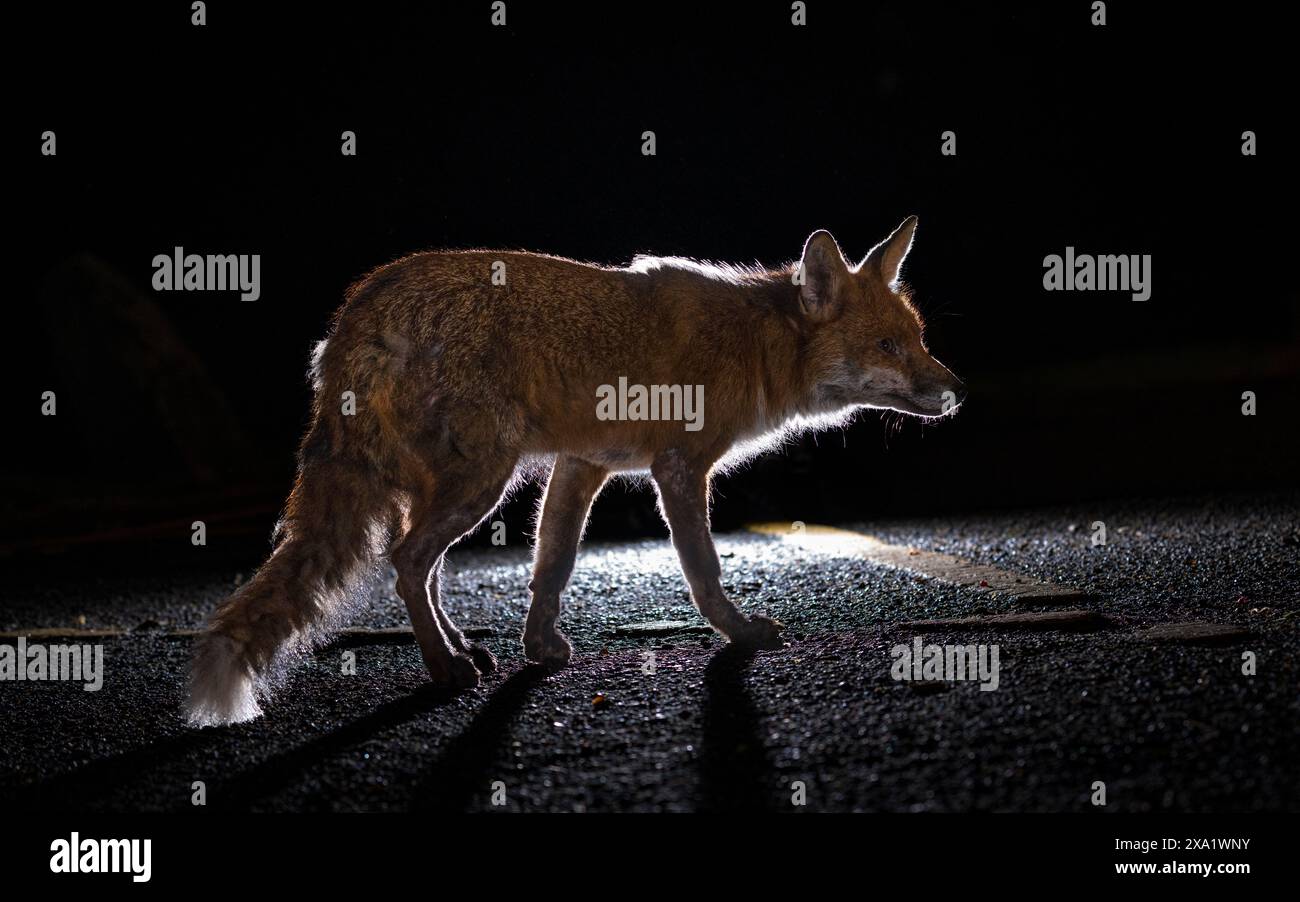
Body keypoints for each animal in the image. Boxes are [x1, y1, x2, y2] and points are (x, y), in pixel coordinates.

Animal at [186, 217, 965, 726]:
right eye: (888, 347)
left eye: (920, 340)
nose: (957, 391)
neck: (753, 343)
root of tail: (351, 319)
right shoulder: (677, 467)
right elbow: (704, 571)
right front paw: (739, 635)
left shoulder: (582, 463)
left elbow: (552, 564)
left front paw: (537, 648)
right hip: (483, 480)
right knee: (407, 561)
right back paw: (444, 669)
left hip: (455, 487)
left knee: (421, 569)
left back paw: (460, 649)